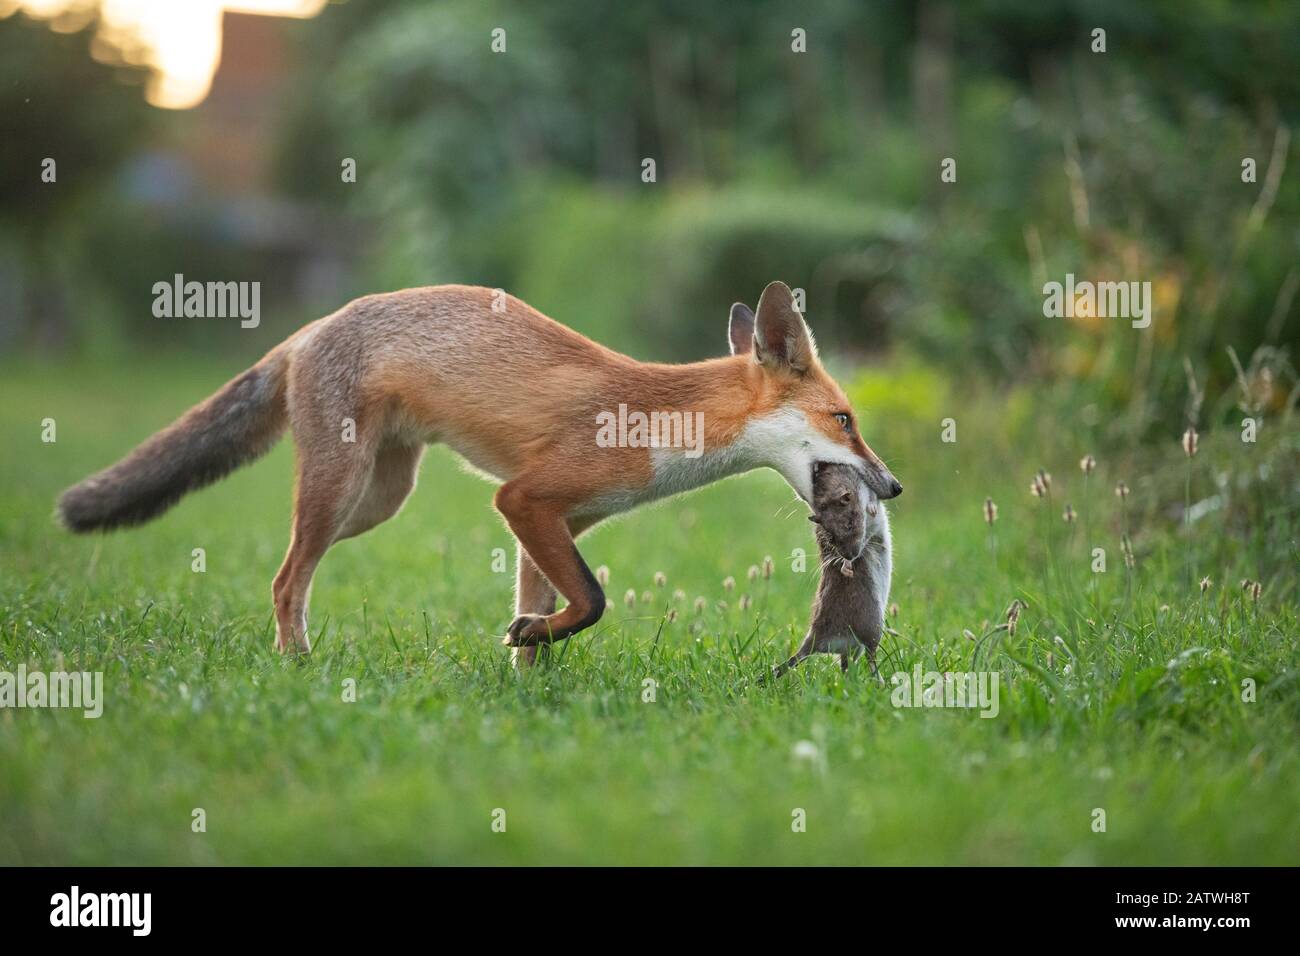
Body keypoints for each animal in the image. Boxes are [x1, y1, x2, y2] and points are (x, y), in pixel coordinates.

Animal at [56, 280, 901, 662]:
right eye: (847, 421)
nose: (893, 487)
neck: (661, 423)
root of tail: (309, 329)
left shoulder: (551, 522)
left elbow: (553, 612)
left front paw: (530, 676)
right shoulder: (524, 498)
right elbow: (594, 600)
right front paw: (535, 652)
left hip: (379, 500)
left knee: (286, 568)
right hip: (339, 489)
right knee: (286, 579)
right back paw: (298, 665)